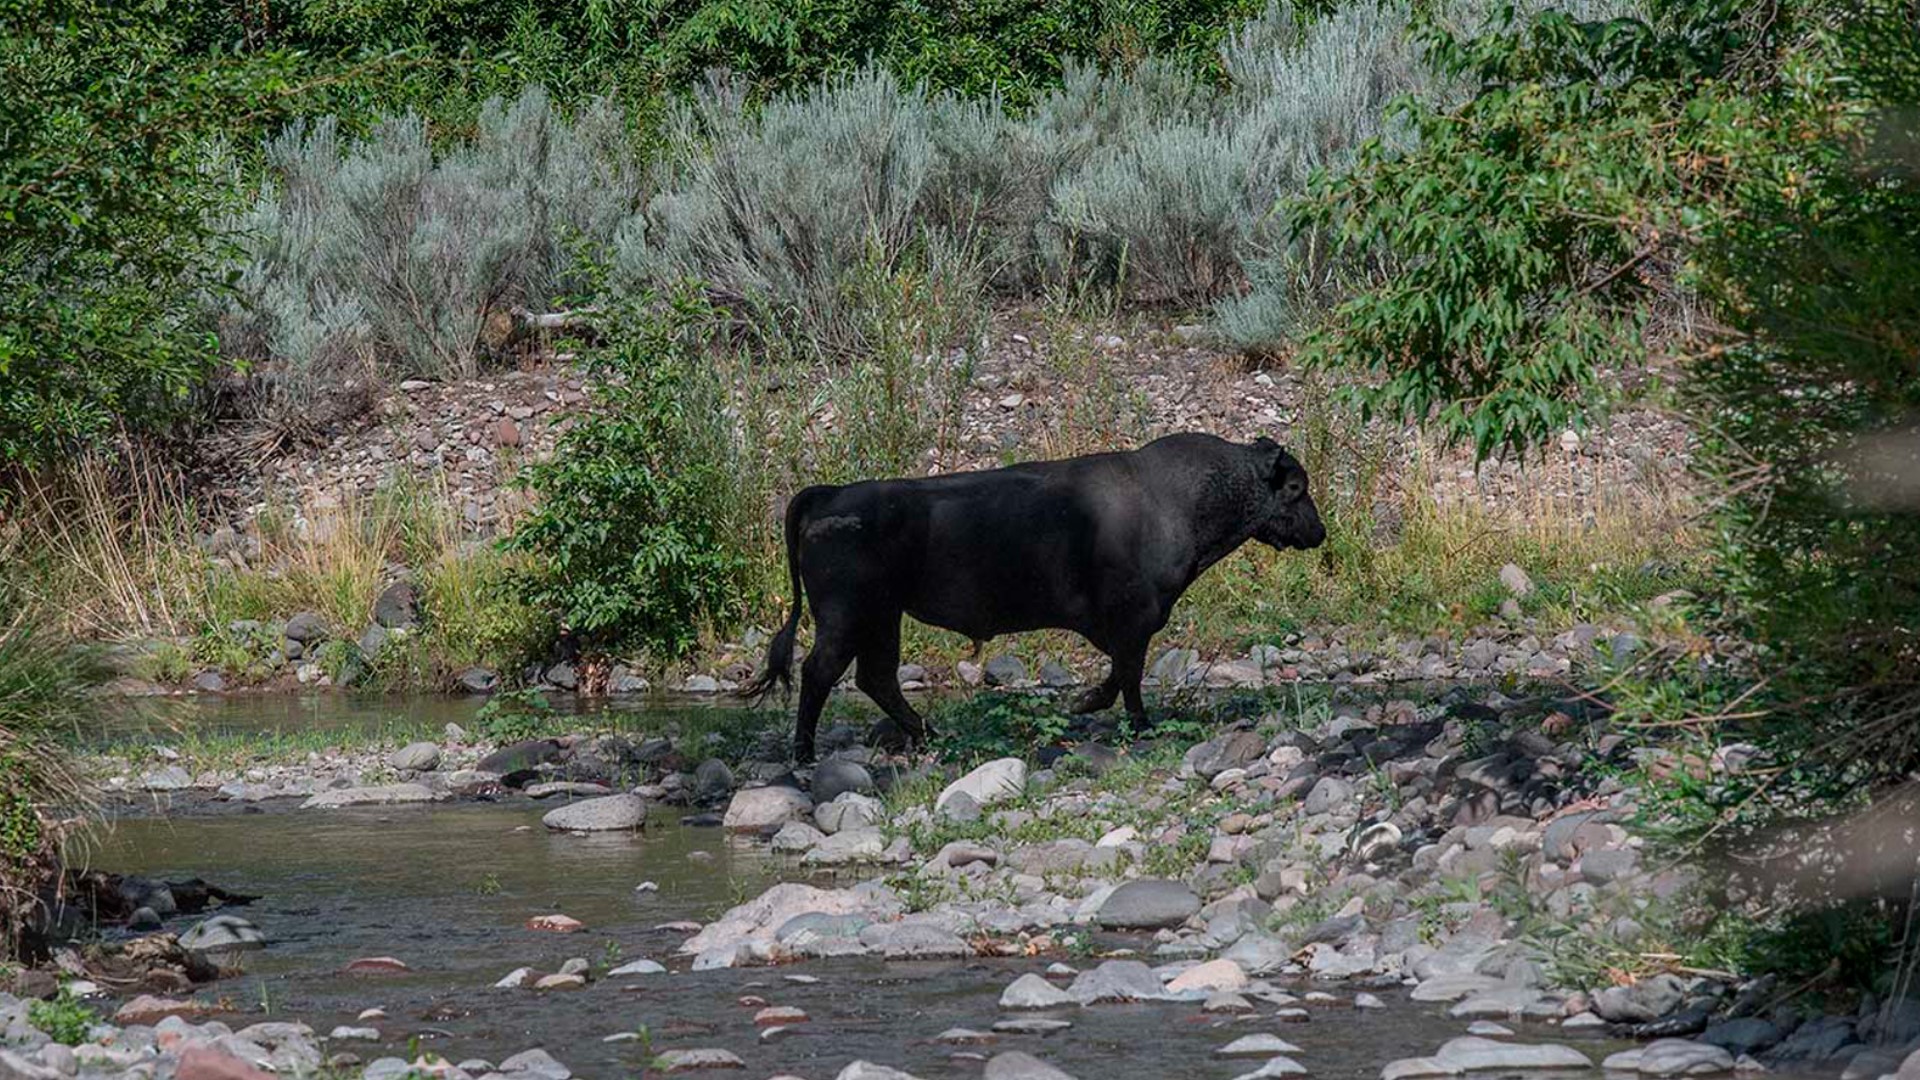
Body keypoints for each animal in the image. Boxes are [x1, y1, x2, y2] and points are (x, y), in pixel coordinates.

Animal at [743, 433, 1327, 763]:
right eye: (1295, 488)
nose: (1318, 531)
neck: (1178, 497)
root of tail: (830, 495)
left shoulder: (1130, 625)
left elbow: (1120, 672)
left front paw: (1084, 702)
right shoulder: (1135, 619)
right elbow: (1130, 675)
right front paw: (1134, 722)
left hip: (882, 618)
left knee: (876, 677)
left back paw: (930, 733)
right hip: (848, 617)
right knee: (822, 672)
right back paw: (805, 753)